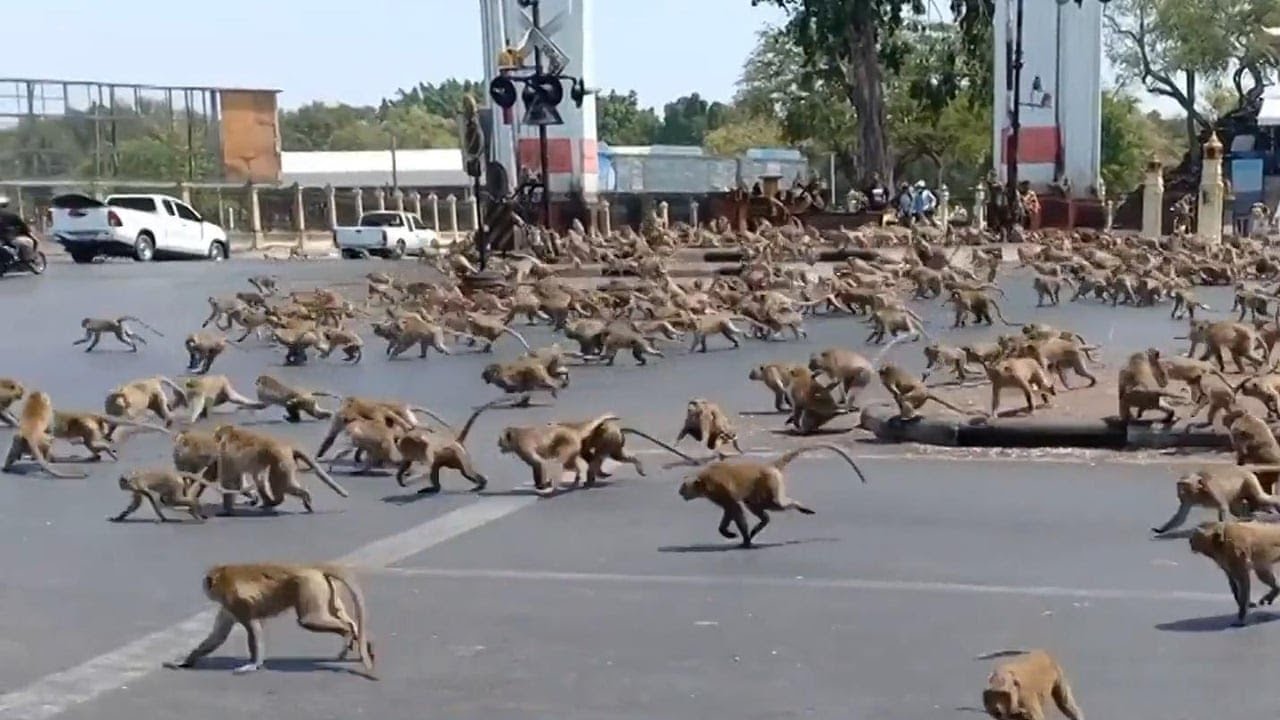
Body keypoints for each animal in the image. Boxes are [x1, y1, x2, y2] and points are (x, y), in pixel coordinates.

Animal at [164, 562, 375, 676]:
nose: (204, 587)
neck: (224, 578)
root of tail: (313, 568)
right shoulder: (228, 608)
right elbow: (218, 636)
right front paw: (184, 661)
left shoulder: (235, 601)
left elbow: (253, 627)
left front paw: (253, 664)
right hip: (324, 587)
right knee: (339, 616)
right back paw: (358, 636)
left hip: (309, 586)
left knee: (309, 619)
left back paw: (348, 633)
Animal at [212, 425, 349, 516]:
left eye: (216, 436)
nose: (214, 438)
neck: (228, 434)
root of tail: (287, 447)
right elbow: (239, 481)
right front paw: (251, 495)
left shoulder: (226, 456)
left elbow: (229, 482)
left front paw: (227, 509)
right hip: (283, 463)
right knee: (262, 479)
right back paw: (269, 502)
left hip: (281, 462)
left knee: (280, 484)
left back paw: (294, 497)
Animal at [677, 444, 868, 547]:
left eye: (683, 487)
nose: (680, 492)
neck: (703, 481)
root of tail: (769, 466)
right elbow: (731, 509)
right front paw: (733, 534)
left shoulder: (718, 490)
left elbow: (734, 508)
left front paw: (741, 538)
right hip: (765, 485)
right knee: (756, 505)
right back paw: (762, 523)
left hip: (770, 482)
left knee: (777, 503)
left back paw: (797, 505)